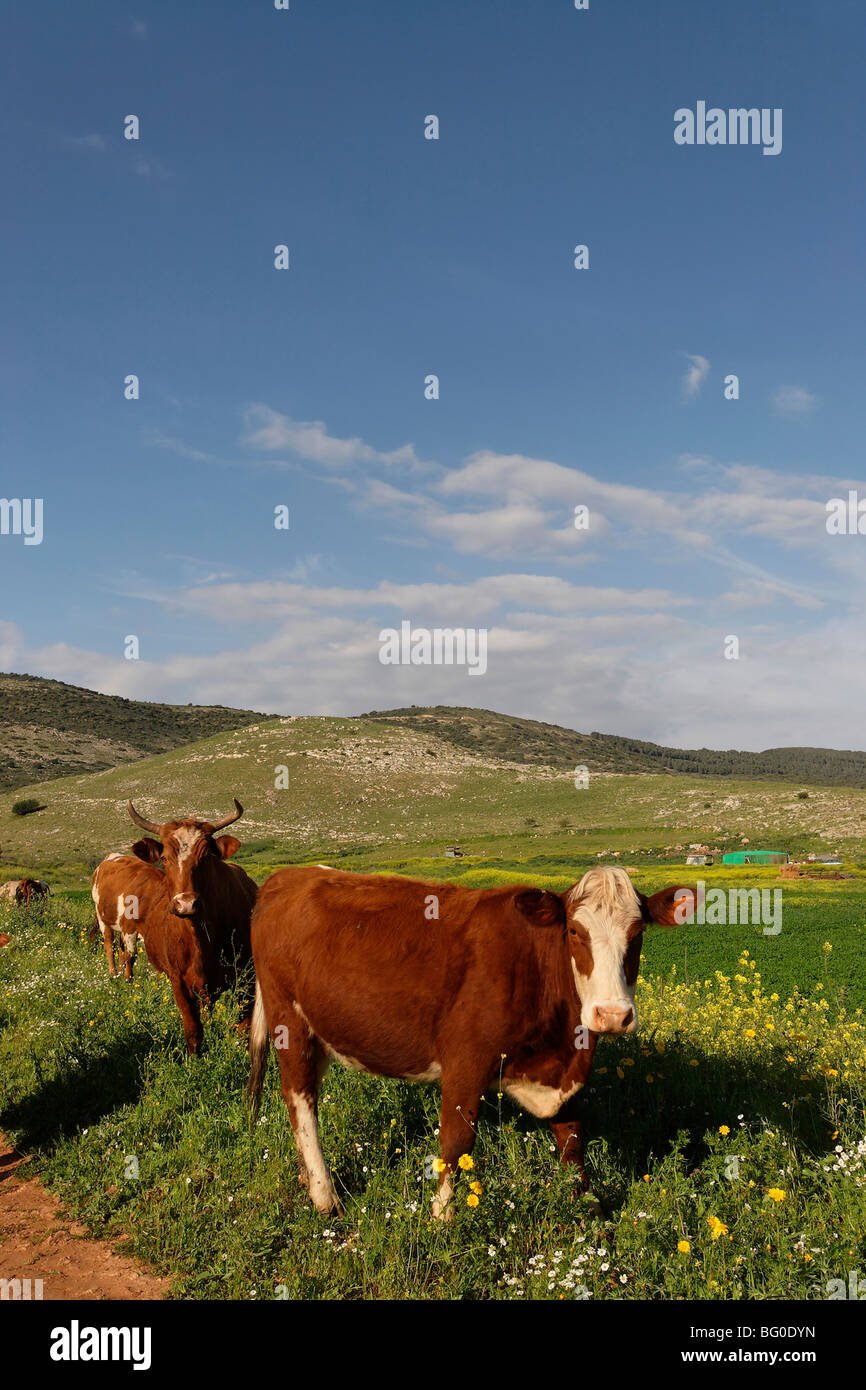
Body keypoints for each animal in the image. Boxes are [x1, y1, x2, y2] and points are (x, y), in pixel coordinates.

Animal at [90, 799, 258, 1054]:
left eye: (205, 857)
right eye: (165, 858)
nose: (185, 903)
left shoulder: (247, 978)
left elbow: (244, 1029)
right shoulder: (177, 980)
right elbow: (193, 1032)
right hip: (104, 922)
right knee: (112, 948)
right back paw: (114, 975)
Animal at [247, 864, 695, 1219]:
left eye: (638, 933)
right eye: (573, 930)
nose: (613, 1015)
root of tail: (288, 876)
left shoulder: (563, 1073)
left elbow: (572, 1141)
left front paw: (589, 1214)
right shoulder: (465, 1061)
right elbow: (456, 1141)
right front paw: (442, 1218)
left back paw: (307, 1178)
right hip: (289, 1020)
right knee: (300, 1098)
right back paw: (325, 1196)